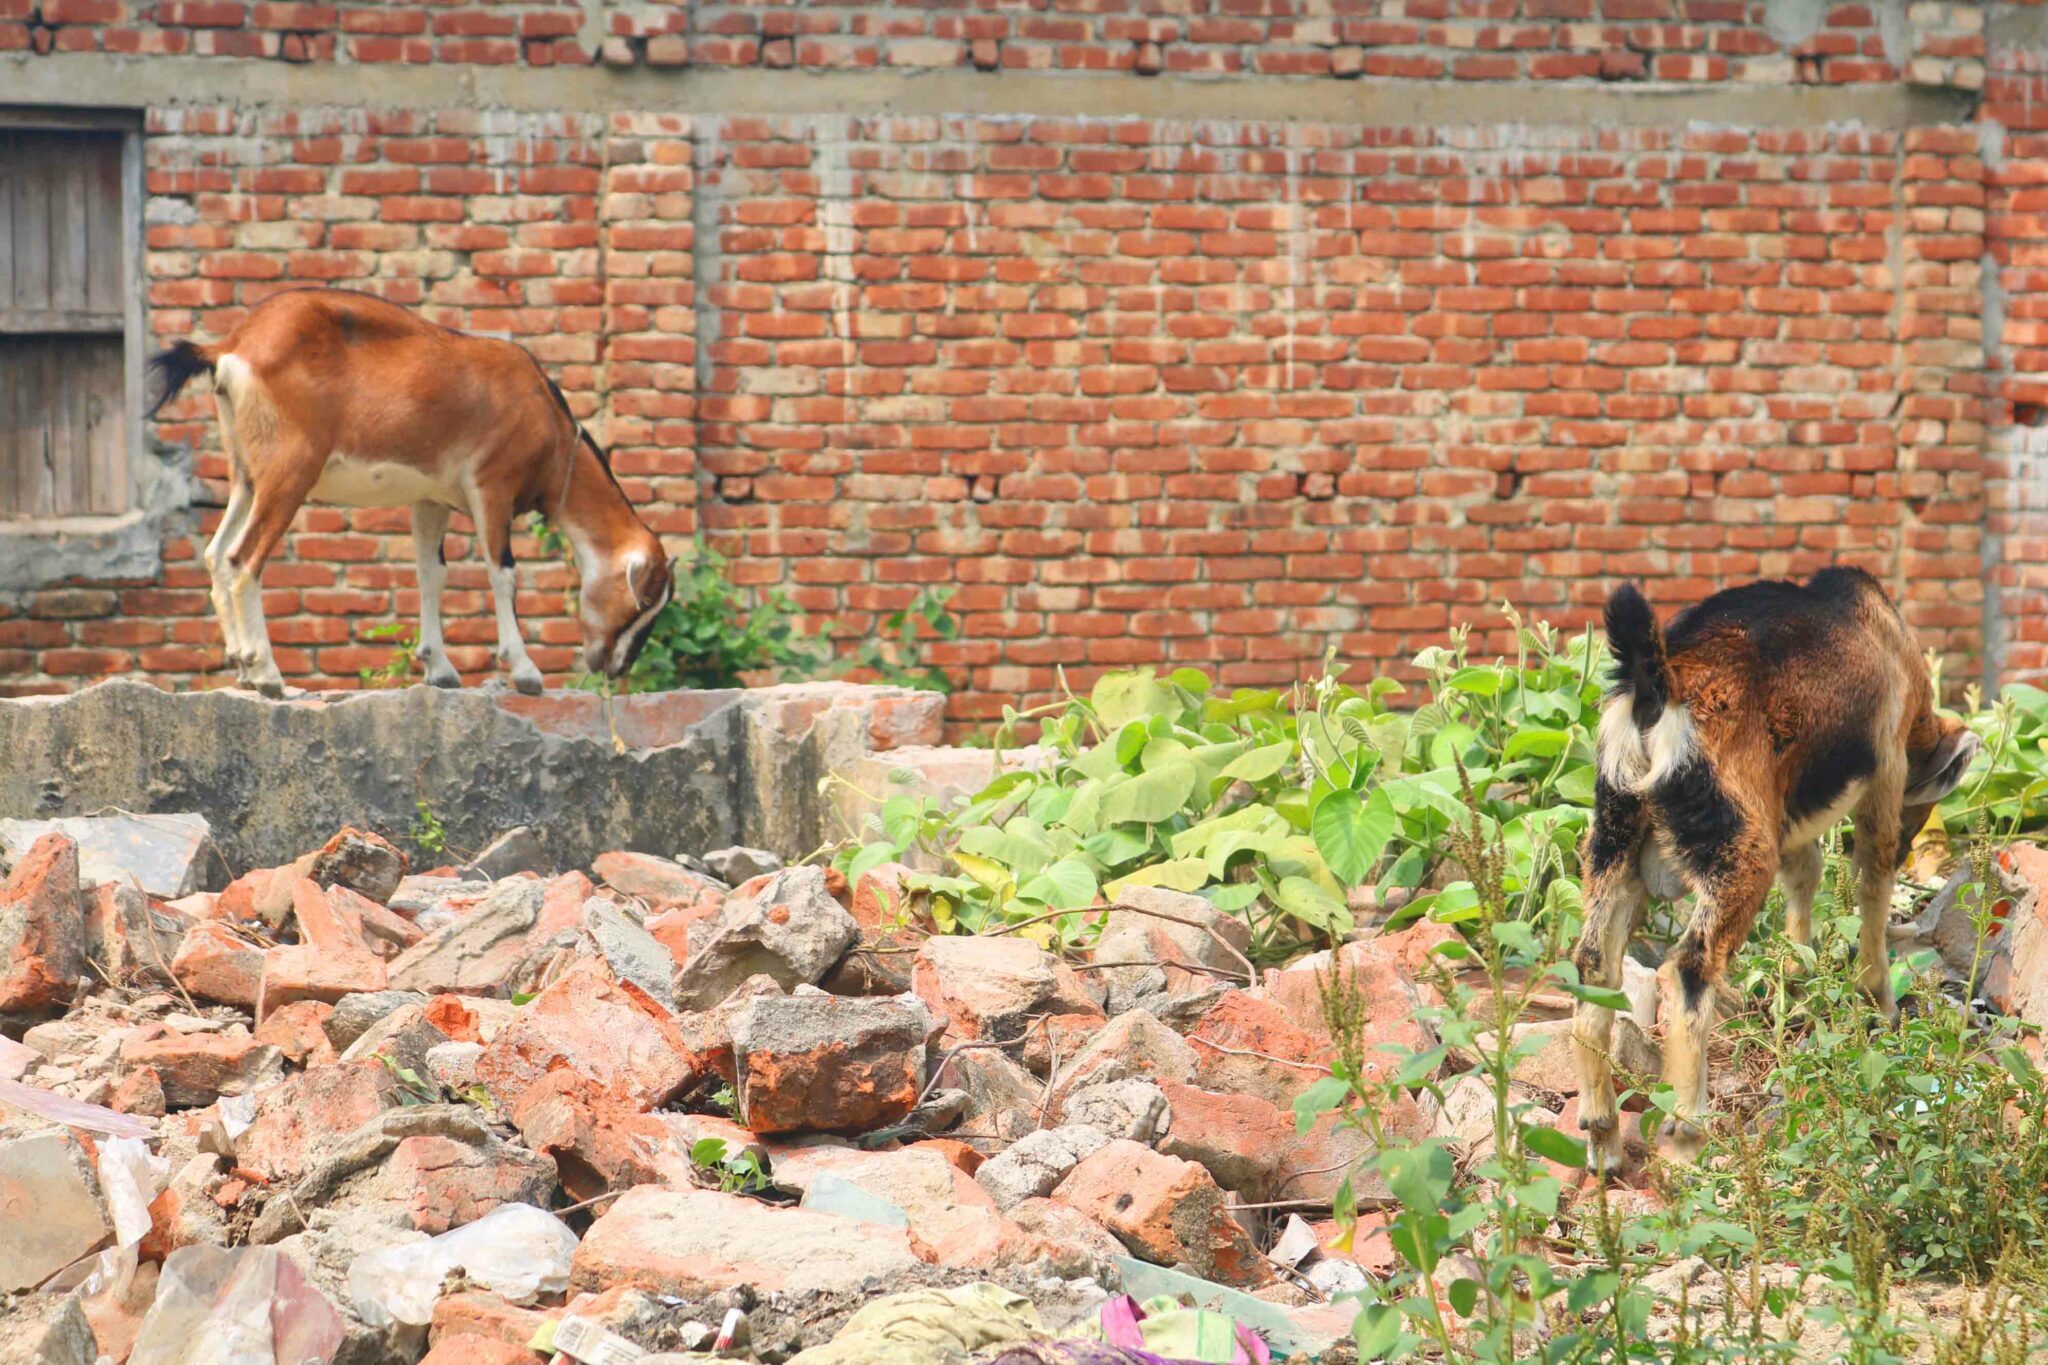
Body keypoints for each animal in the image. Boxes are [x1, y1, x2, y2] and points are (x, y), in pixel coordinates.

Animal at [147, 289, 672, 698]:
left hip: (247, 476)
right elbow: (503, 574)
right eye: (645, 599)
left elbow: (429, 575)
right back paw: (269, 675)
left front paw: (440, 669)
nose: (614, 665)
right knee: (243, 559)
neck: (546, 417)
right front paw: (526, 673)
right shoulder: (492, 486)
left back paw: (244, 667)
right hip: (289, 473)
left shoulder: (431, 499)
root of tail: (233, 345)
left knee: (217, 554)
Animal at [1570, 568, 1980, 1173]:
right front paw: (1877, 1002)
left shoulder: (1785, 809)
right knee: (1689, 967)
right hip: (1740, 848)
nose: (1916, 840)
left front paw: (1796, 975)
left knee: (1595, 964)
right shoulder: (1885, 769)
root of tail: (1656, 683)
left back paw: (1602, 1137)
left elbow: (1805, 875)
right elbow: (1872, 882)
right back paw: (1688, 1131)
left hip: (1613, 834)